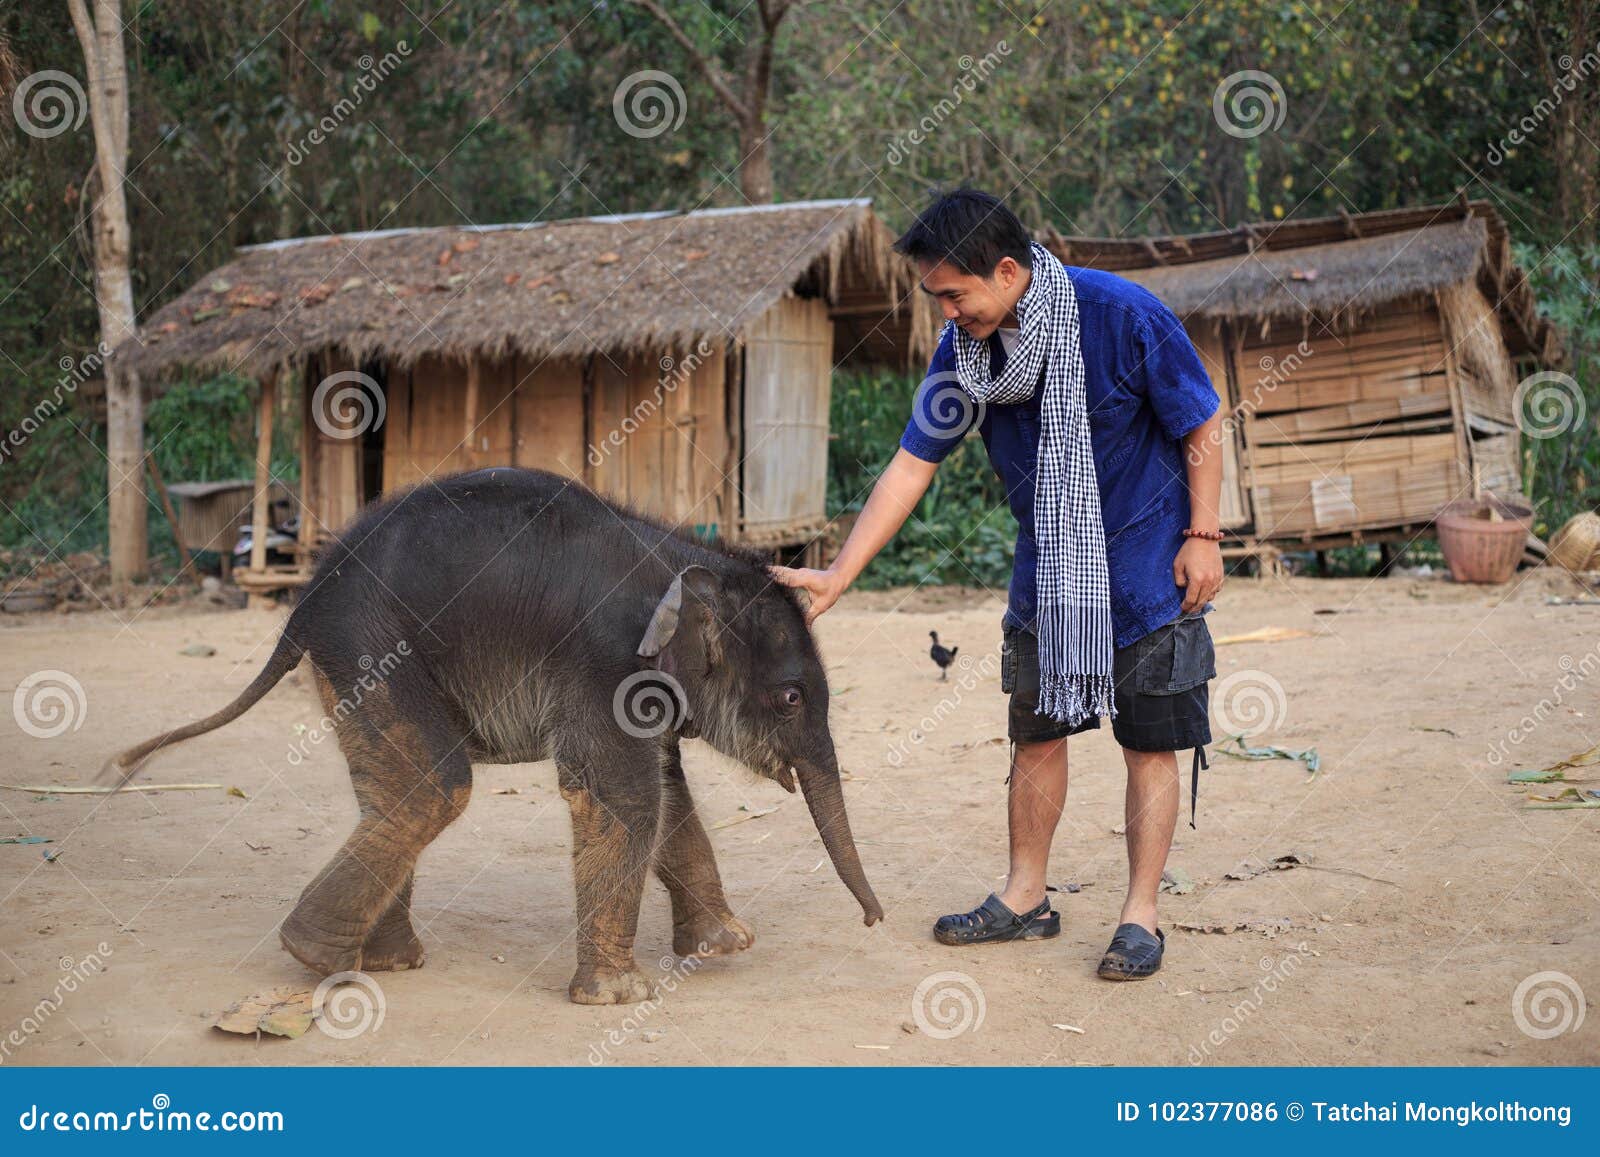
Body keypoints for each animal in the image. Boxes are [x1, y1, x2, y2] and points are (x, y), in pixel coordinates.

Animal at [102, 467, 882, 1004]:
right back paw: (317, 958)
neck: (682, 561)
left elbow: (665, 791)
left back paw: (382, 960)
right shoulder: (605, 663)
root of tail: (304, 601)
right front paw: (618, 997)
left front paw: (725, 947)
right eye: (790, 699)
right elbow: (623, 796)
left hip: (350, 662)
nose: (876, 921)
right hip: (373, 647)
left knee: (394, 789)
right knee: (434, 787)